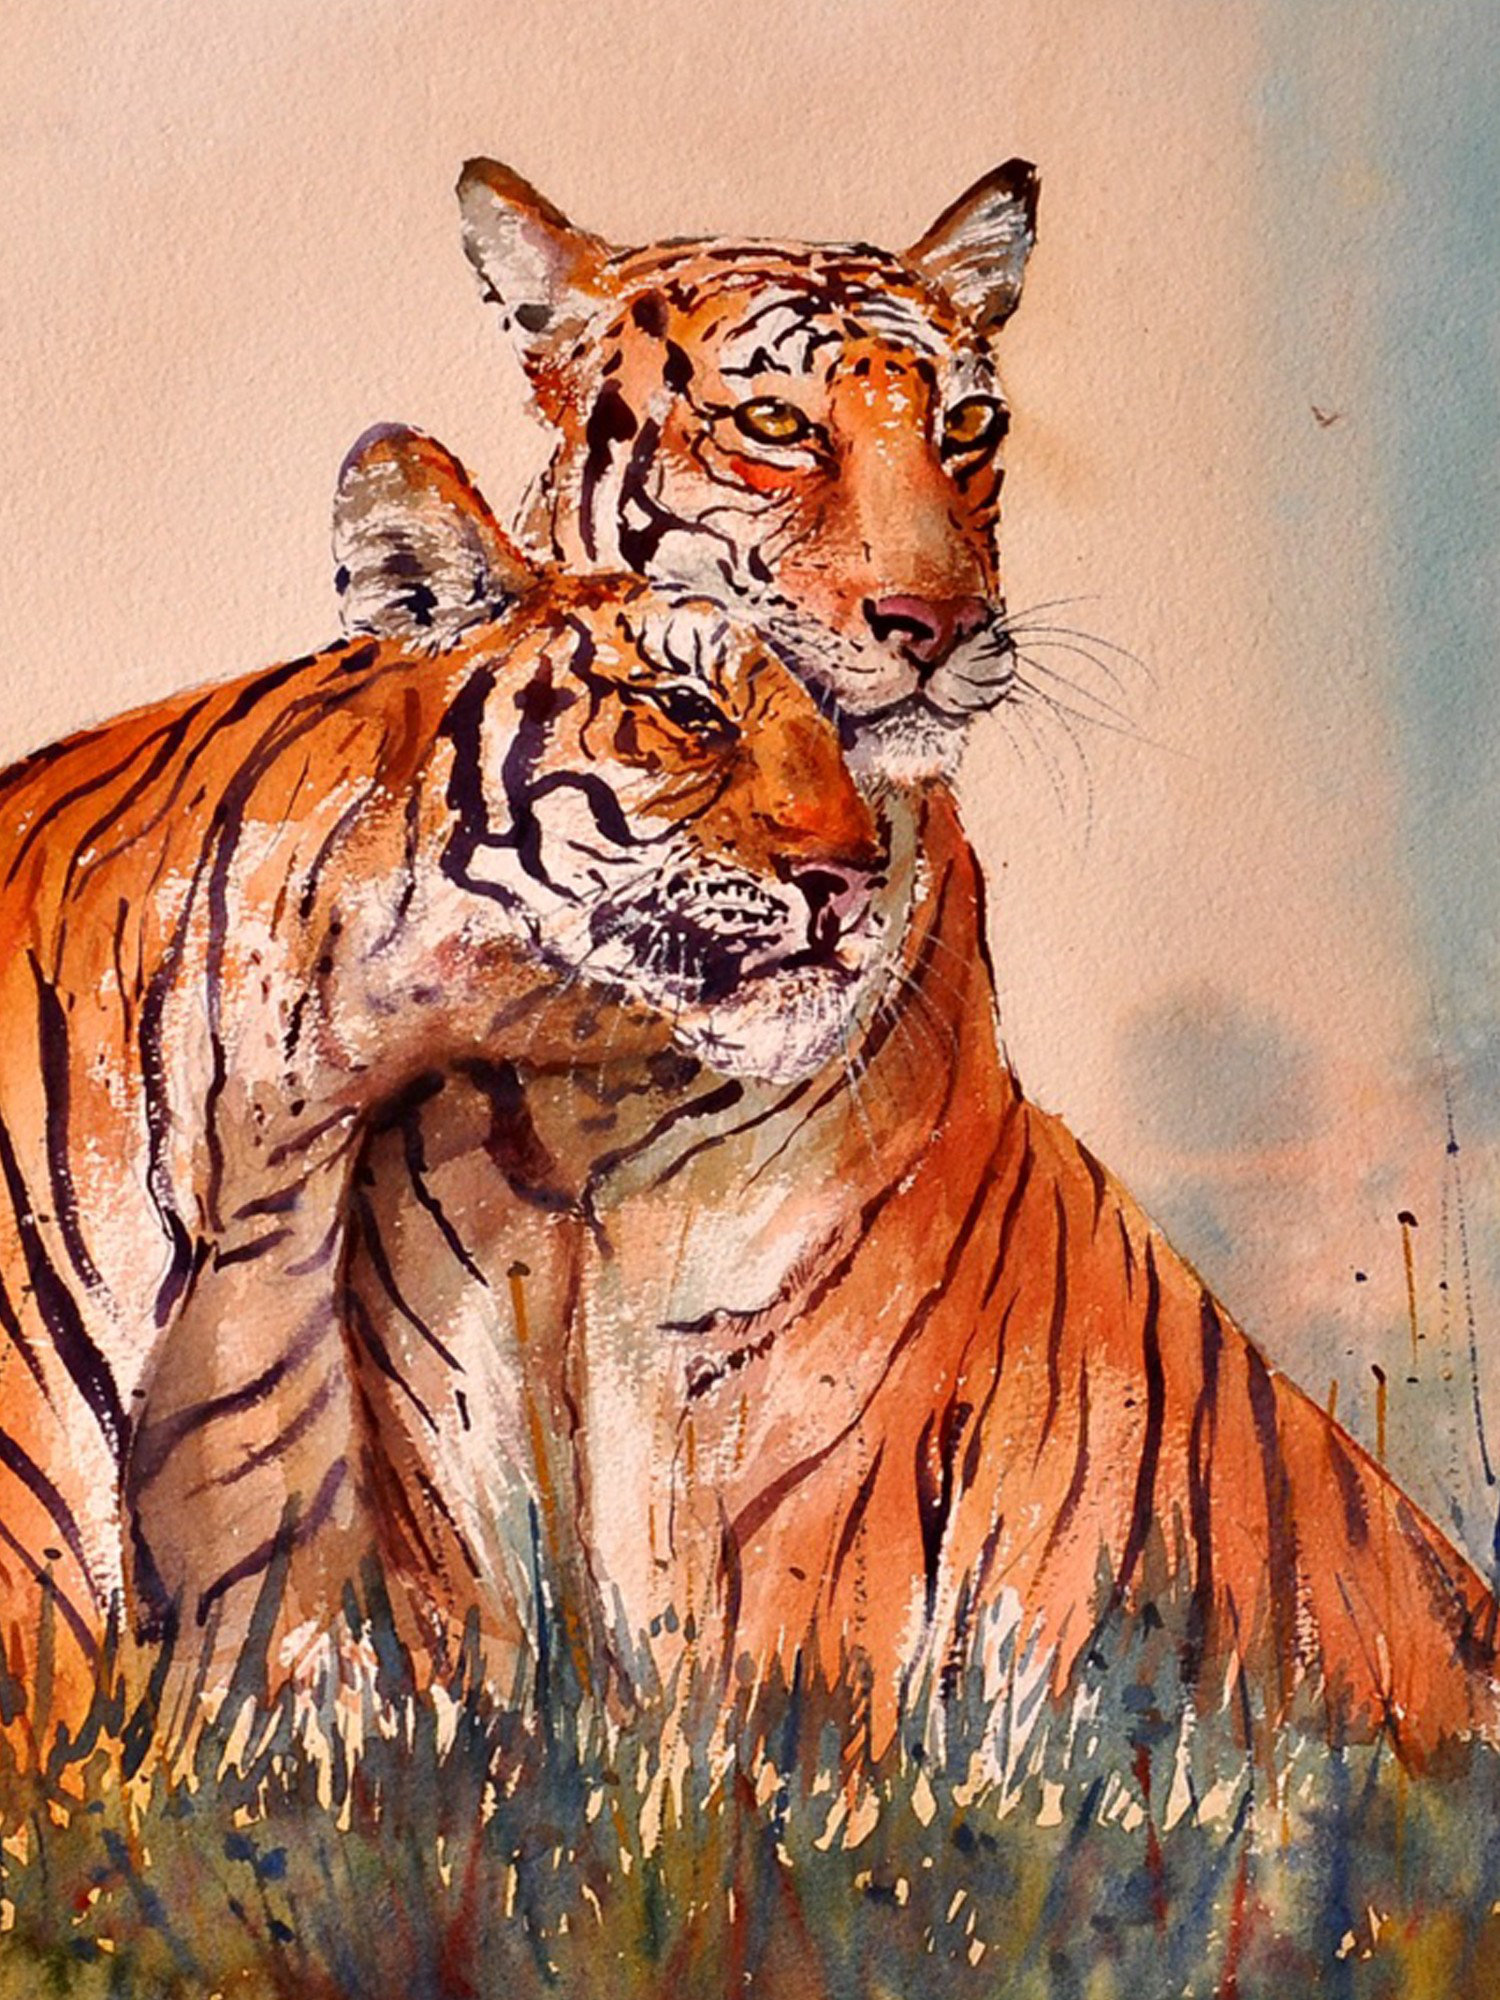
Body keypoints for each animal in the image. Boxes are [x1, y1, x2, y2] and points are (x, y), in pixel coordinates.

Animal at [335, 161, 1499, 1767]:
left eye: (969, 428)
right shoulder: (456, 1511)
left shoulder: (811, 1503)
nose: (941, 627)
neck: (594, 1083)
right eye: (776, 425)